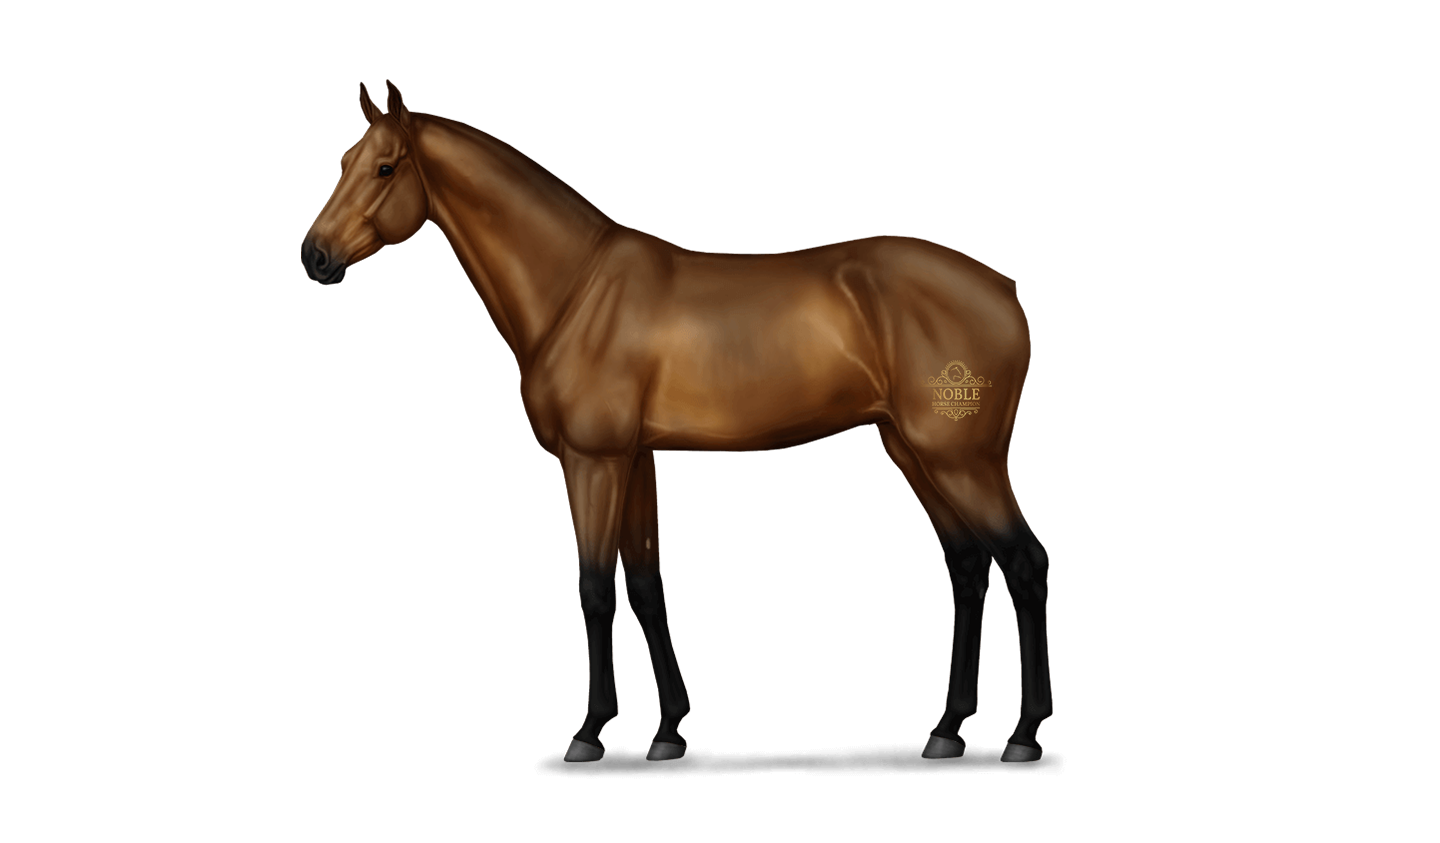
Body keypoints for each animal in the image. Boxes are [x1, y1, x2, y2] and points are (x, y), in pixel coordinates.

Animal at [303, 81, 1051, 764]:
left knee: (1023, 562)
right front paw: (666, 731)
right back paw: (948, 730)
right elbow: (645, 586)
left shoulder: (595, 459)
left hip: (961, 458)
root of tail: (1001, 295)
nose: (315, 253)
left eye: (385, 167)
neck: (576, 290)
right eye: (345, 158)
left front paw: (588, 733)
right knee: (967, 567)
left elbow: (596, 589)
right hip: (915, 452)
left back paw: (1023, 736)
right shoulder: (633, 458)